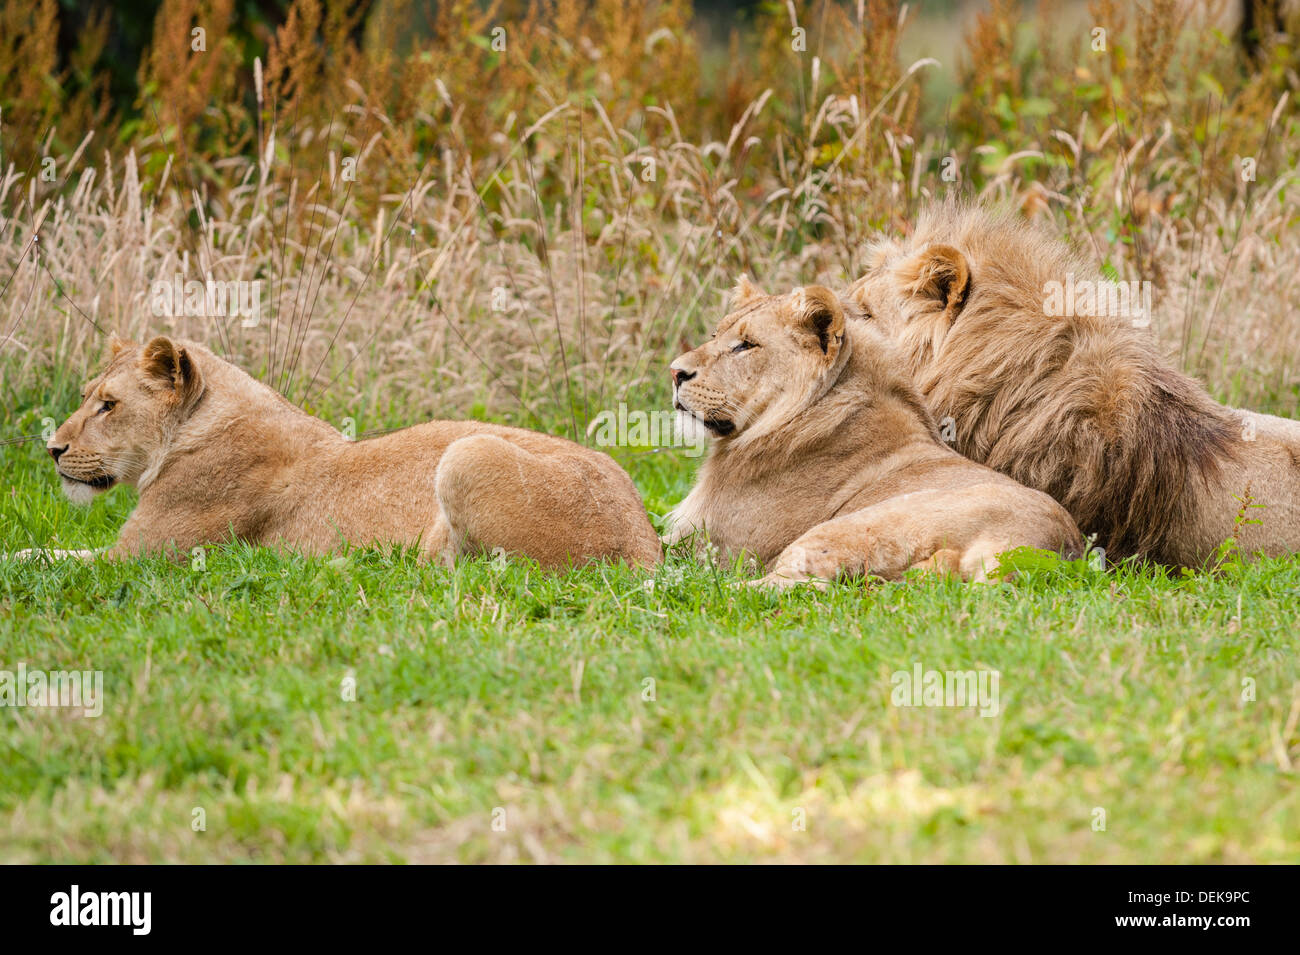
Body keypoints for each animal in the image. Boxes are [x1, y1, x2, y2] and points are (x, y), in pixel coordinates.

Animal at [20, 335, 662, 570]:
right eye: (85, 396)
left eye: (108, 406)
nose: (52, 449)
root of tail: (644, 548)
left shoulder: (144, 554)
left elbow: (47, 555)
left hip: (467, 451)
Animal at [664, 281, 1083, 586]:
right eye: (715, 335)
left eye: (745, 345)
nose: (675, 372)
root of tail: (1036, 548)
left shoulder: (717, 544)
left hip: (853, 526)